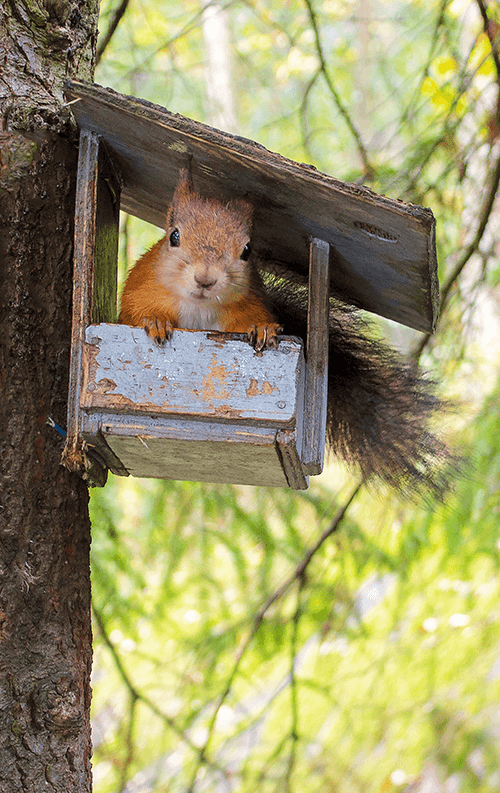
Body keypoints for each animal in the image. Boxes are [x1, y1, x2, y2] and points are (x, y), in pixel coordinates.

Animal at [119, 169, 450, 497]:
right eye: (173, 236)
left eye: (247, 251)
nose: (205, 279)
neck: (198, 306)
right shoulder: (140, 291)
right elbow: (134, 315)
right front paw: (156, 321)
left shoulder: (247, 306)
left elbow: (252, 322)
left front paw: (262, 330)